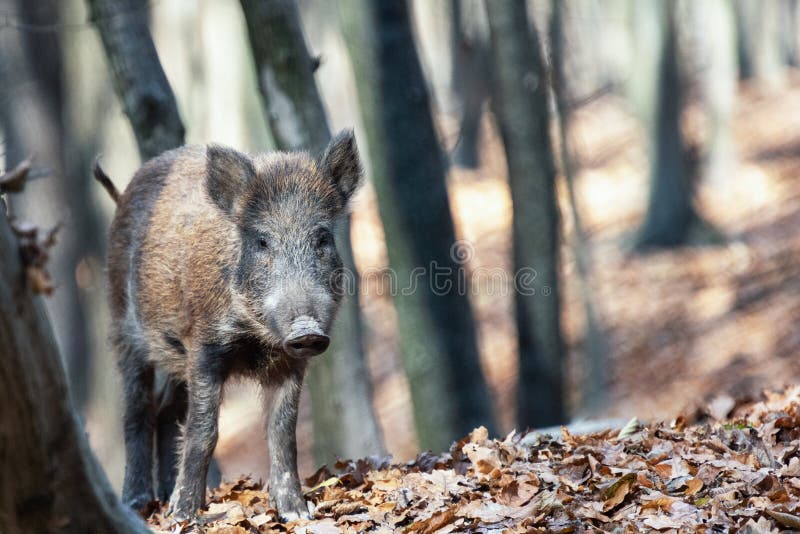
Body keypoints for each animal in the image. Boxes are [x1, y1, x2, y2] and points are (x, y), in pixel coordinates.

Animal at [95, 130, 363, 521]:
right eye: (262, 241)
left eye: (323, 238)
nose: (306, 329)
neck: (256, 338)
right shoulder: (204, 346)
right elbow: (203, 431)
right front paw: (184, 517)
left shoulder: (290, 362)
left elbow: (283, 432)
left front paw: (297, 514)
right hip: (124, 329)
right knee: (138, 411)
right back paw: (138, 504)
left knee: (168, 412)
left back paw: (165, 498)